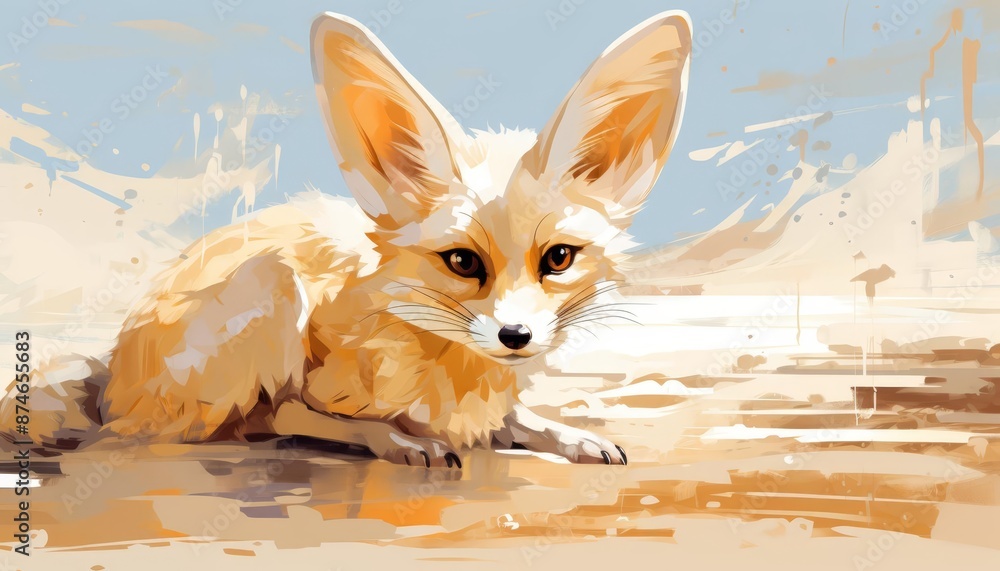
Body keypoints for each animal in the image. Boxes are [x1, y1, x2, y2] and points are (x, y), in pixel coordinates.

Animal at [4, 11, 691, 467]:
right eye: (462, 261)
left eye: (558, 258)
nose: (515, 336)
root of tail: (109, 377)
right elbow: (305, 412)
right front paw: (402, 435)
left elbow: (516, 418)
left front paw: (570, 434)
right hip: (272, 287)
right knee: (265, 417)